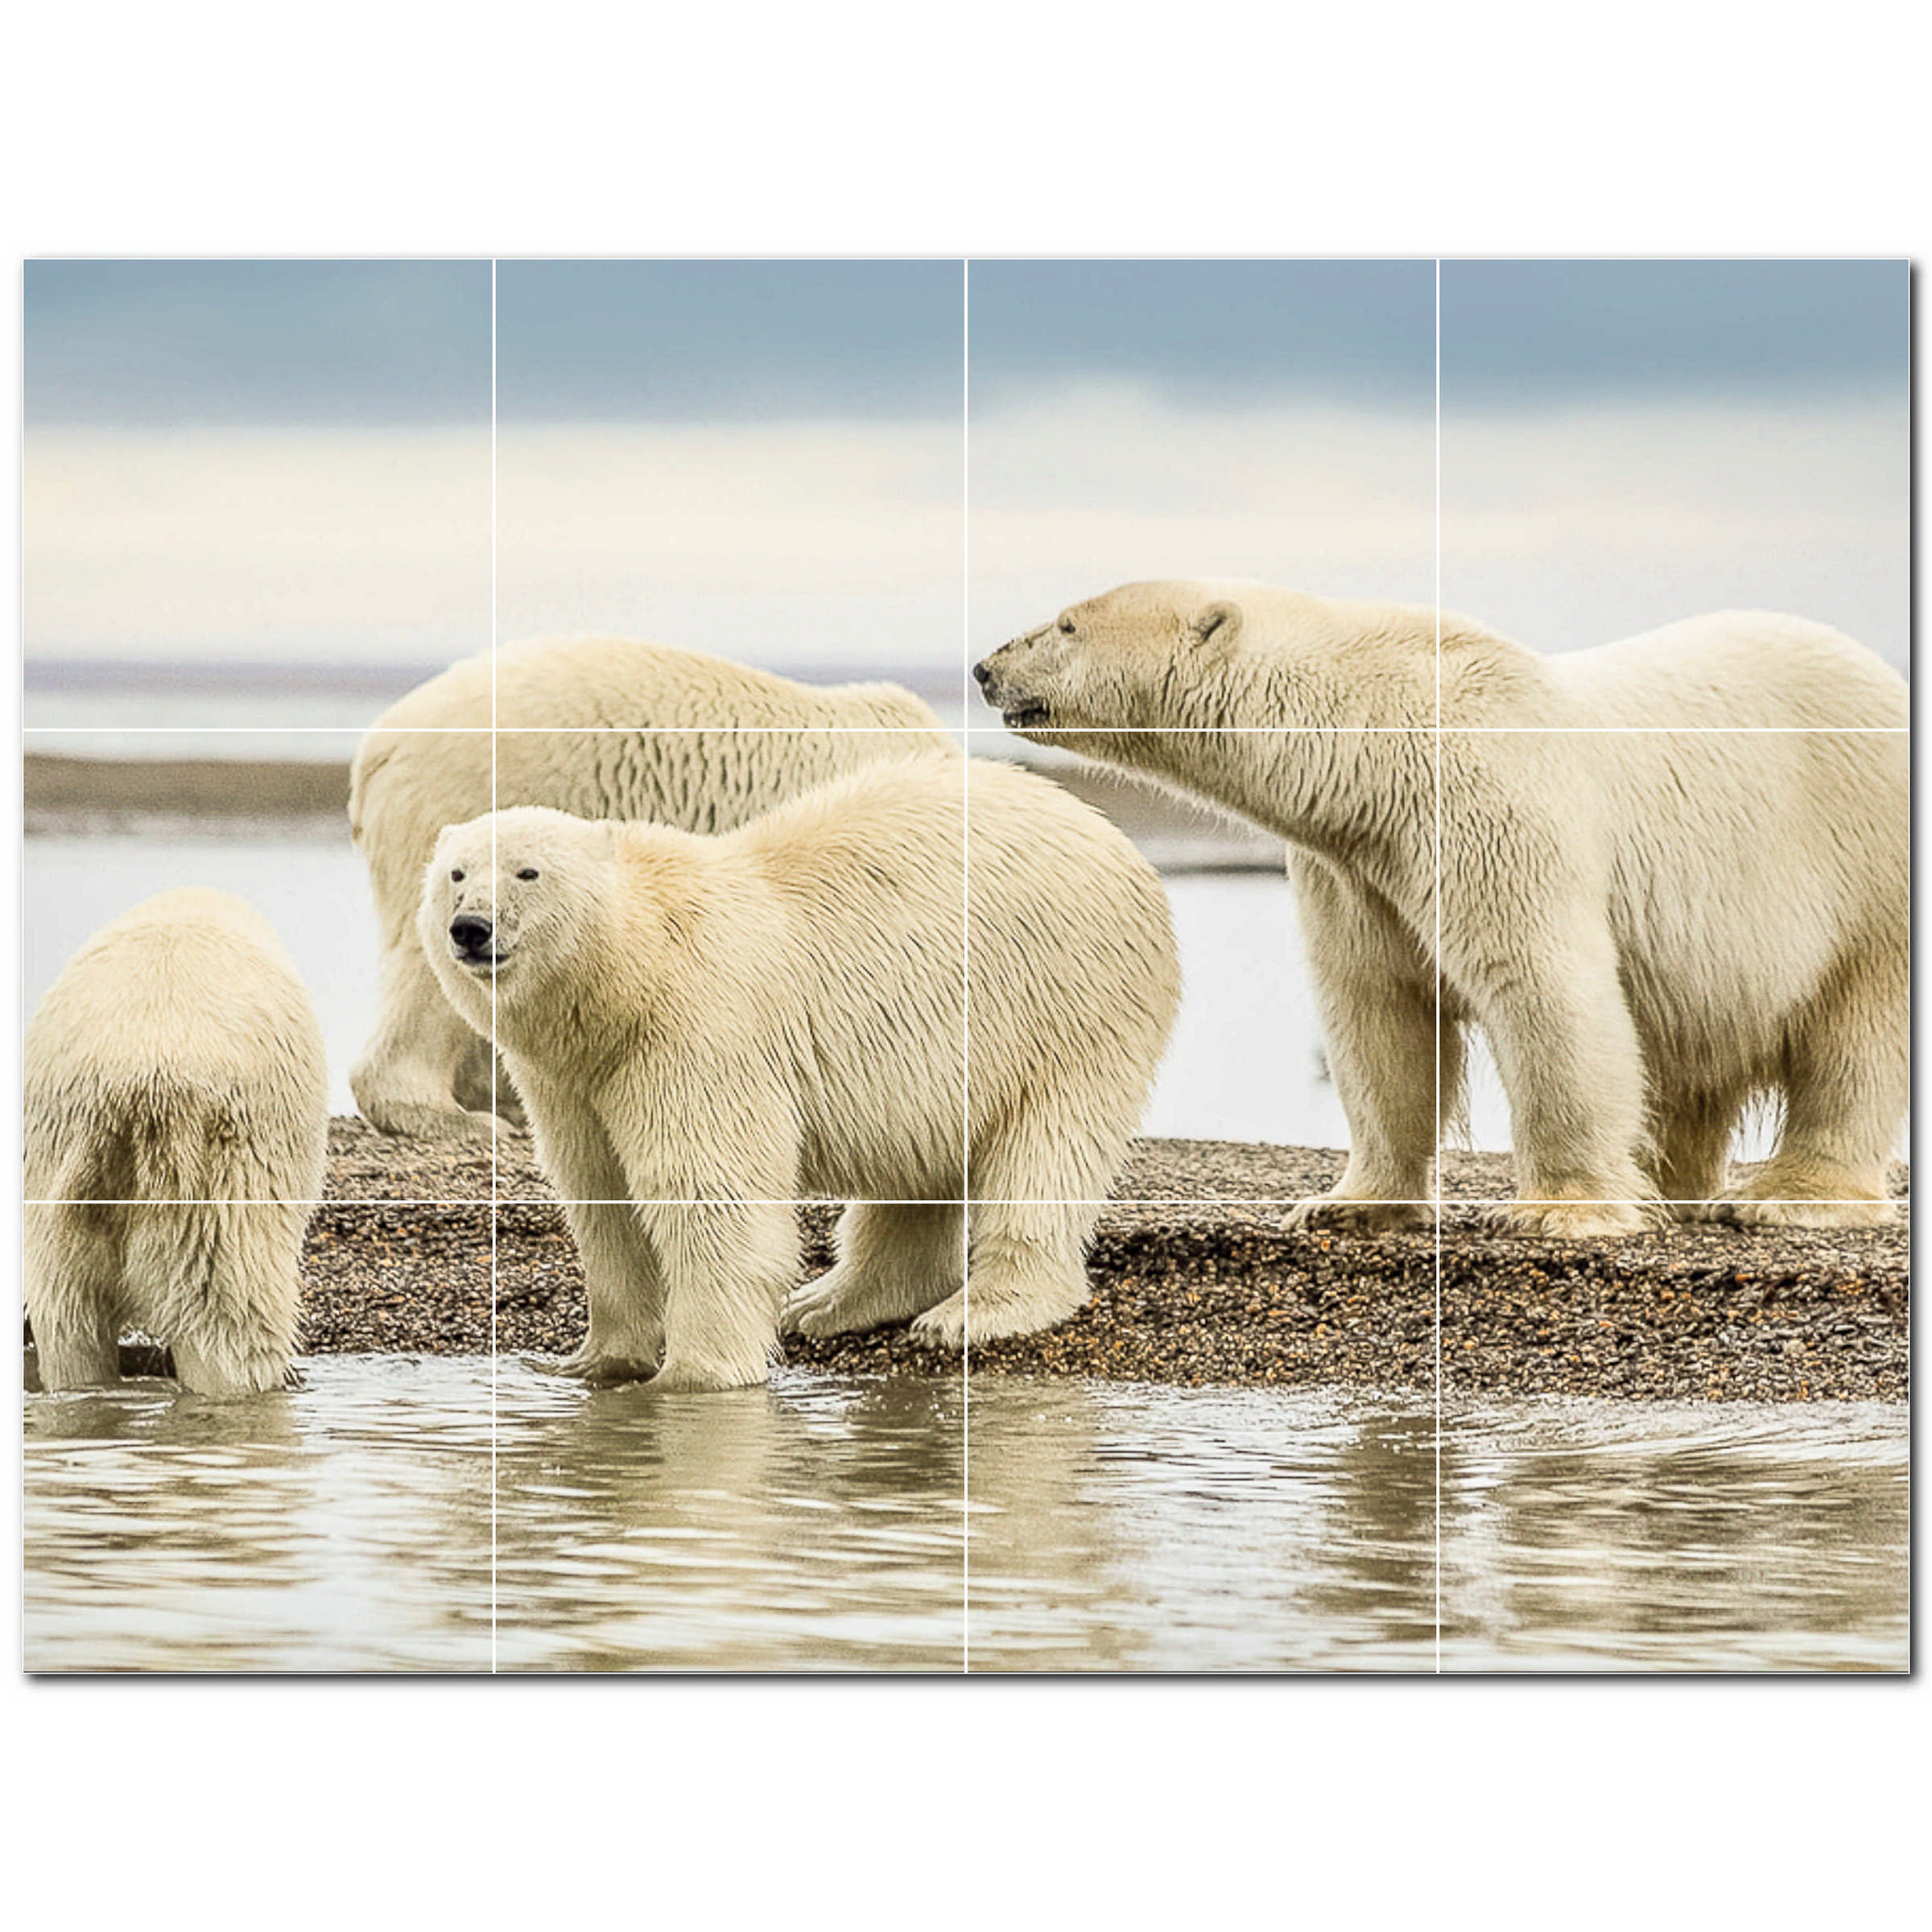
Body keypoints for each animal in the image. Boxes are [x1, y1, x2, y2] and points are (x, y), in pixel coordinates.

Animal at [417, 757, 1180, 1391]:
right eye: (456, 873)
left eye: (527, 872)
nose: (472, 928)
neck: (629, 976)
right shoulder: (571, 1076)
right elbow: (599, 1194)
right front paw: (596, 1360)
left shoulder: (695, 1030)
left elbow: (710, 1195)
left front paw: (694, 1374)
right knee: (917, 1165)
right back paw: (829, 1302)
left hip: (1062, 1002)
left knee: (1045, 1147)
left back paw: (972, 1312)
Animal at [974, 580, 1908, 1237]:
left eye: (1065, 624)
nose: (985, 668)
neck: (1378, 739)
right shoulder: (1354, 866)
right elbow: (1376, 1013)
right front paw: (1347, 1204)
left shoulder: (1488, 811)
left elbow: (1545, 989)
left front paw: (1557, 1210)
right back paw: (1675, 1185)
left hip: (1866, 863)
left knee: (1856, 1033)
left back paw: (1791, 1195)